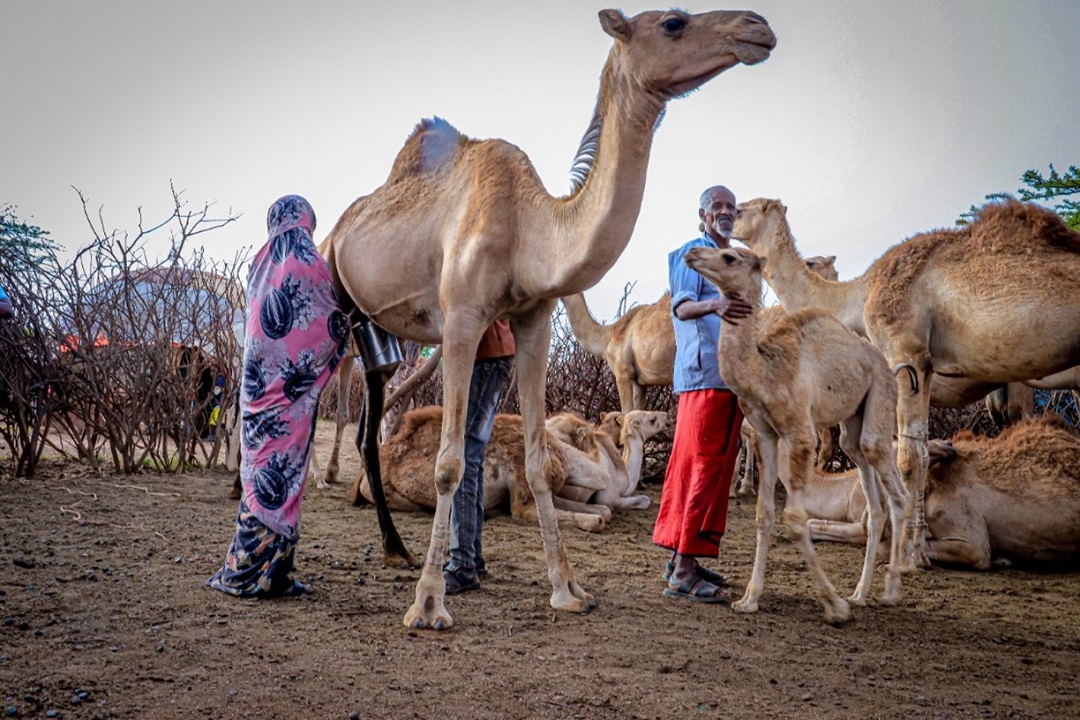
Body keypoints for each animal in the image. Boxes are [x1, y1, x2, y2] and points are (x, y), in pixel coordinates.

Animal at [323, 9, 776, 629]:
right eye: (673, 22)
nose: (758, 27)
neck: (531, 229)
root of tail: (337, 229)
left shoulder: (532, 320)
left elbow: (538, 461)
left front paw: (568, 590)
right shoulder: (462, 318)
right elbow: (448, 464)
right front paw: (429, 604)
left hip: (381, 334)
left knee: (371, 423)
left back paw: (396, 549)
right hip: (330, 296)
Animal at [685, 246, 909, 623]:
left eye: (729, 256)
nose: (691, 252)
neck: (765, 370)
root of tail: (882, 361)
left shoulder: (800, 434)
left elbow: (793, 518)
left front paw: (834, 606)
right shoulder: (766, 434)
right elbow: (764, 514)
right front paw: (748, 599)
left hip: (881, 396)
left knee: (895, 487)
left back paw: (891, 591)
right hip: (852, 422)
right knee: (870, 491)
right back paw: (860, 593)